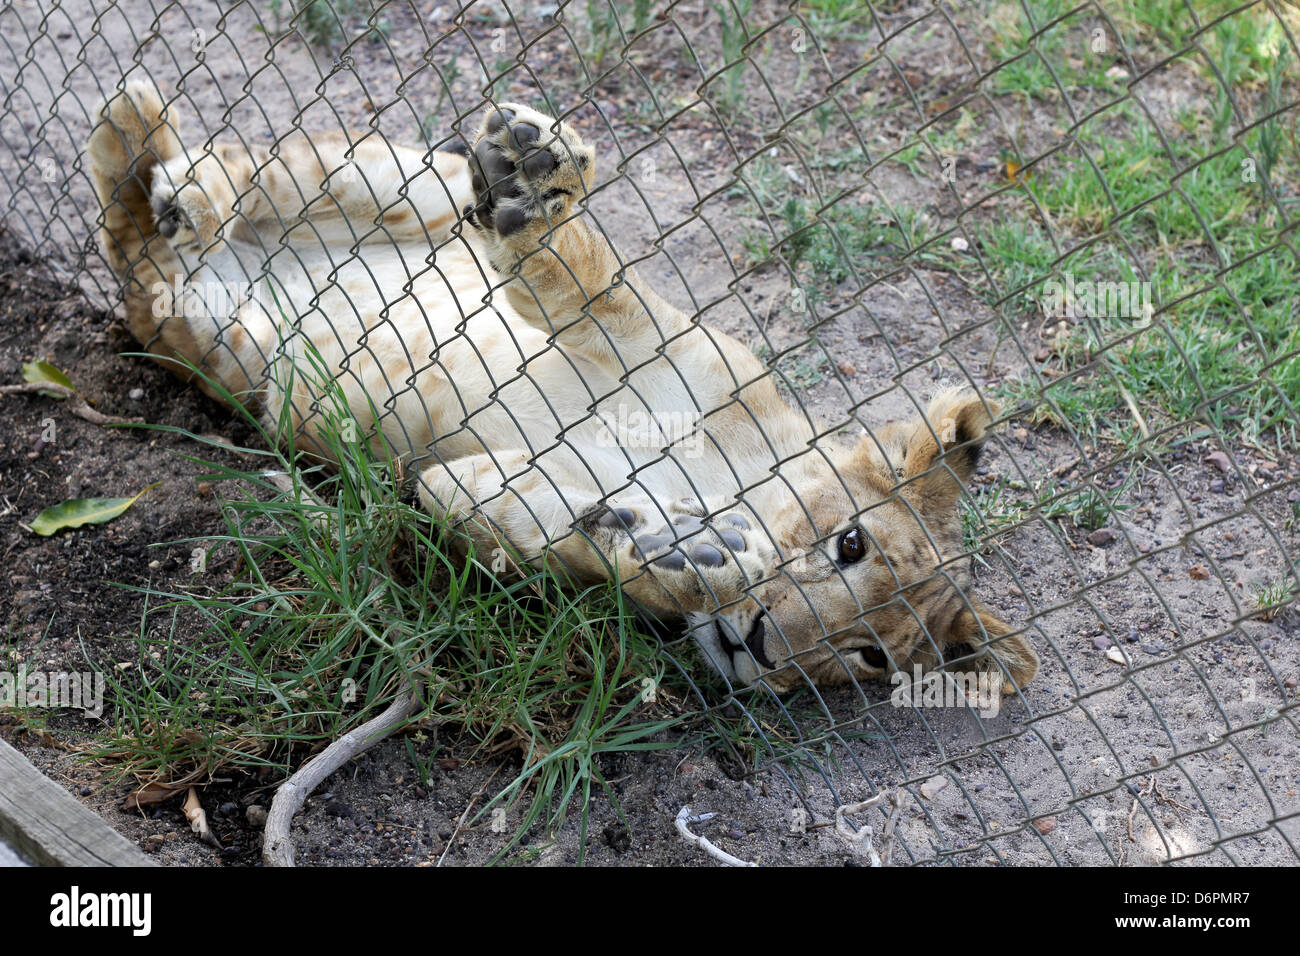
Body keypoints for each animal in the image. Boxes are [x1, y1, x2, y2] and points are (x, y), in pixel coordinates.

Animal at [85, 81, 1038, 697]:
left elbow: (531, 525)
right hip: (418, 183)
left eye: (873, 659)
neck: (717, 477)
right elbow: (589, 275)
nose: (763, 651)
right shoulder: (651, 336)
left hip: (239, 351)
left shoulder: (440, 483)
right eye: (849, 545)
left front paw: (674, 552)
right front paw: (541, 191)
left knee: (139, 233)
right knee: (265, 172)